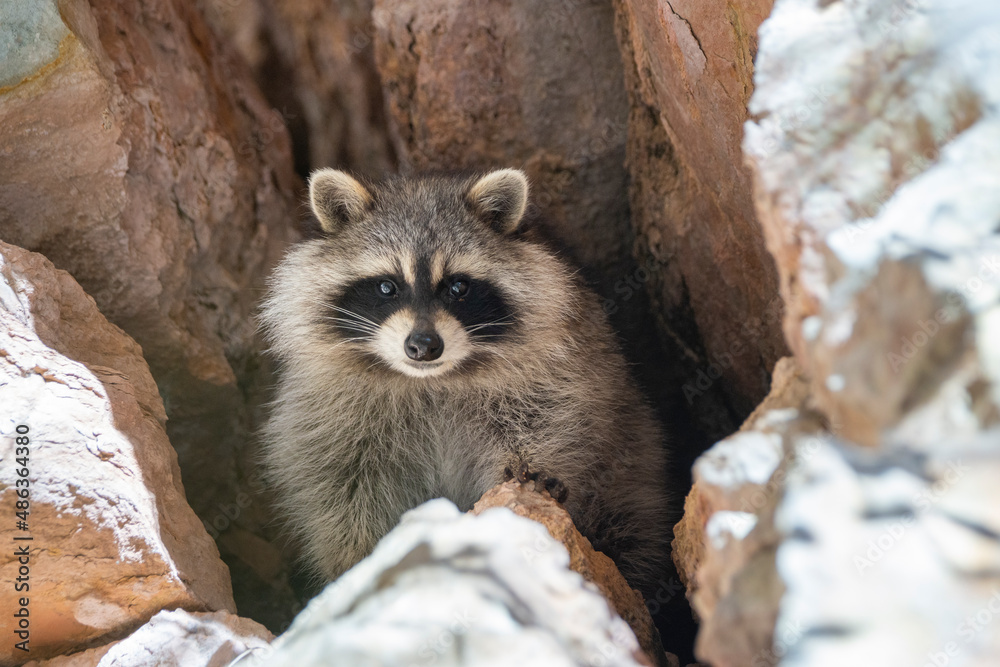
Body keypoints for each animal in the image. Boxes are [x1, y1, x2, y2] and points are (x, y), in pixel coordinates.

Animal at [259, 168, 670, 592]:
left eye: (457, 286)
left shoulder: (560, 370)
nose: (424, 346)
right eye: (387, 286)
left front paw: (527, 472)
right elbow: (337, 485)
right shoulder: (328, 406)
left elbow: (549, 422)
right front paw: (359, 561)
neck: (431, 381)